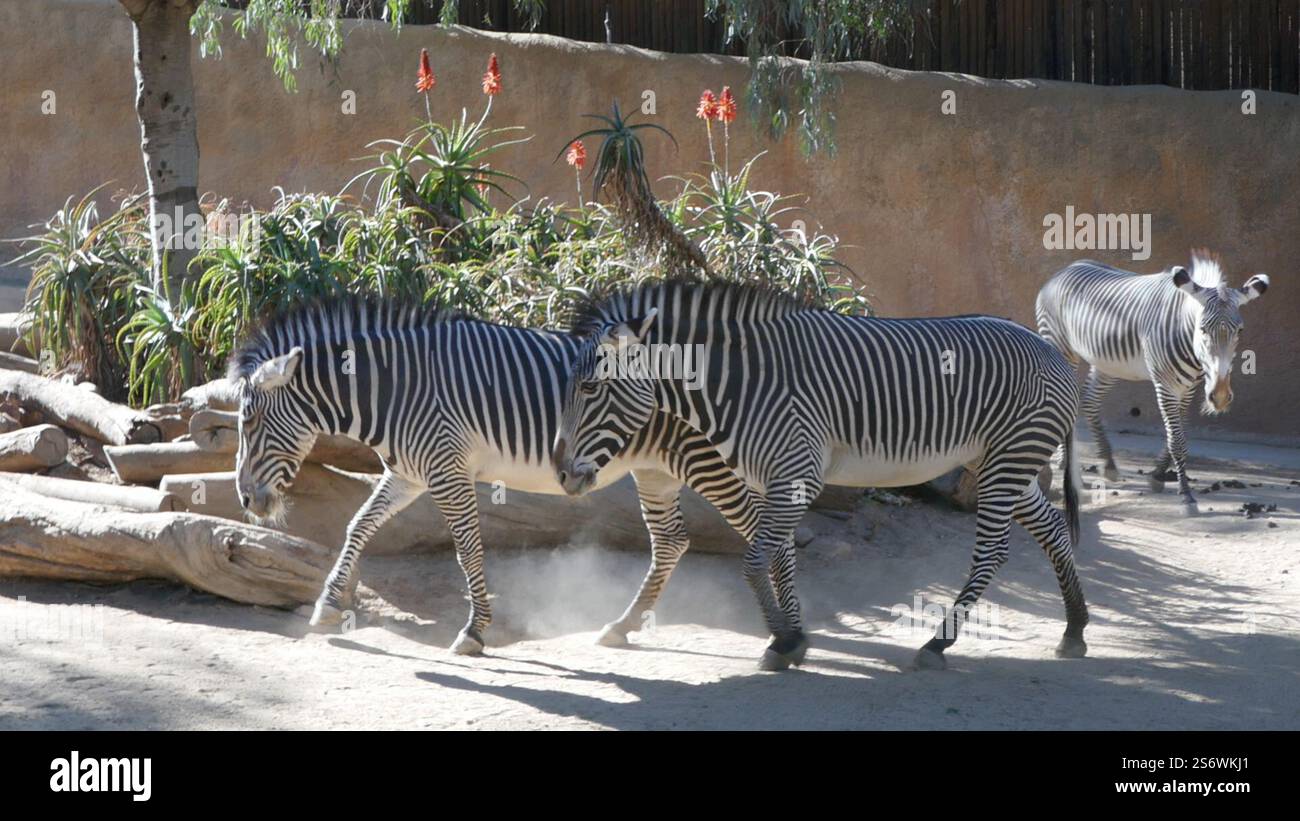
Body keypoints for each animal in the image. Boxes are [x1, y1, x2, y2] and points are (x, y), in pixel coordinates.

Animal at [229, 296, 764, 655]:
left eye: (249, 422)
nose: (246, 501)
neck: (394, 391)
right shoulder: (409, 473)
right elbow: (358, 525)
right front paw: (328, 605)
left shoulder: (447, 470)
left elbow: (467, 550)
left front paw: (475, 631)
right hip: (655, 468)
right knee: (671, 540)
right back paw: (623, 625)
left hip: (702, 459)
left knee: (757, 523)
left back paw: (778, 639)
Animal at [552, 280, 1087, 672]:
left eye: (591, 387)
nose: (560, 474)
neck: (741, 383)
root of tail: (1049, 348)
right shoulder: (772, 479)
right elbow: (778, 556)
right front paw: (794, 634)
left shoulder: (797, 475)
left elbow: (754, 561)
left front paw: (784, 641)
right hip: (999, 461)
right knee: (1053, 529)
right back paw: (1075, 629)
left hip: (1009, 458)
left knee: (994, 550)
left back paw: (938, 644)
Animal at [1036, 252, 1269, 514]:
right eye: (1202, 329)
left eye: (1240, 330)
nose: (1219, 397)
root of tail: (1065, 269)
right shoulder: (1165, 385)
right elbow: (1177, 440)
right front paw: (1186, 496)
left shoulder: (1188, 389)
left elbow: (1176, 434)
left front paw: (1157, 475)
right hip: (1061, 347)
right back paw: (1067, 463)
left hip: (1107, 364)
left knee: (1088, 400)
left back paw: (1107, 463)